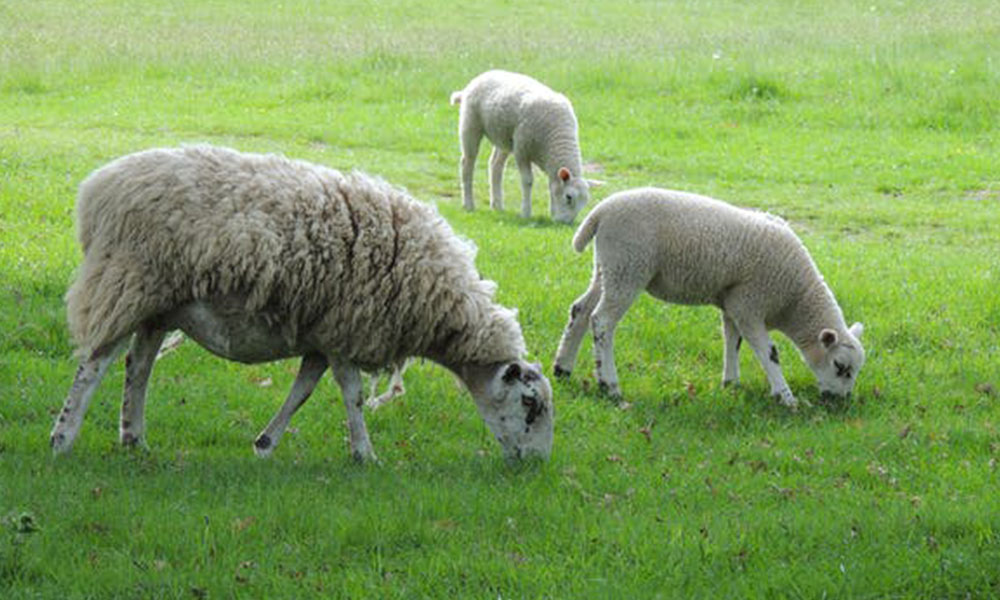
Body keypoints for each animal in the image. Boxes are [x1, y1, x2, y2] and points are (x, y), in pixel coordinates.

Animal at [49, 144, 554, 462]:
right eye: (530, 405)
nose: (535, 463)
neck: (441, 306)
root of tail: (96, 189)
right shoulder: (347, 329)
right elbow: (351, 394)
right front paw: (365, 454)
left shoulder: (322, 335)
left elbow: (303, 390)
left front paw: (265, 443)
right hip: (125, 283)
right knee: (94, 363)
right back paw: (63, 438)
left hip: (158, 304)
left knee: (137, 366)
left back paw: (134, 439)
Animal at [450, 69, 597, 223]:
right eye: (568, 197)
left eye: (585, 203)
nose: (565, 224)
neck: (555, 140)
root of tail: (480, 77)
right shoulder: (522, 151)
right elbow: (528, 181)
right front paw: (526, 212)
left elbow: (550, 185)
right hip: (471, 124)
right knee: (467, 163)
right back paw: (468, 205)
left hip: (504, 137)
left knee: (495, 165)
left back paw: (497, 205)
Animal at [553, 187, 866, 408]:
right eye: (840, 367)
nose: (841, 402)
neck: (794, 300)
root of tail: (600, 212)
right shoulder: (750, 303)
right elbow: (768, 352)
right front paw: (785, 397)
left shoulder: (733, 304)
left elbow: (732, 341)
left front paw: (731, 383)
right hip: (628, 267)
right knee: (602, 321)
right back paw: (609, 385)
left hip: (607, 268)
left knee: (581, 311)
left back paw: (562, 368)